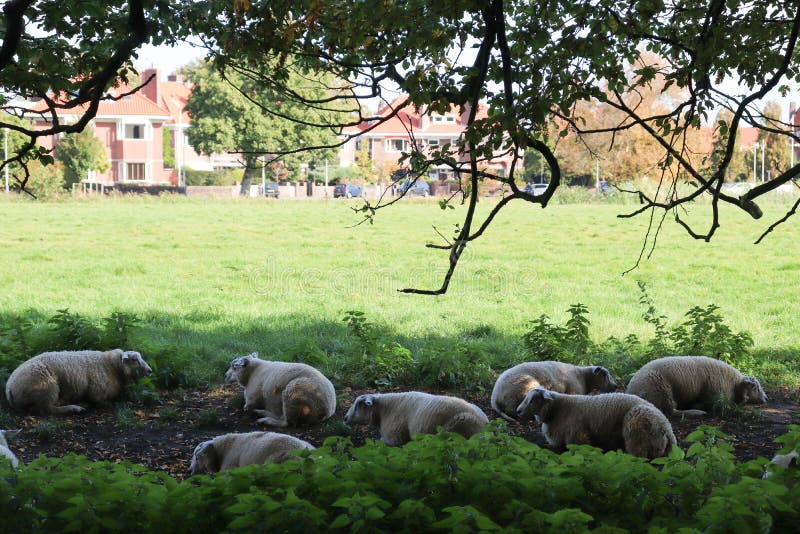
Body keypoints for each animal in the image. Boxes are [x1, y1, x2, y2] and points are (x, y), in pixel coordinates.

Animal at [5, 349, 152, 415]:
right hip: (47, 388)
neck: (112, 366)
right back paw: (74, 408)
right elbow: (101, 401)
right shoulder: (96, 392)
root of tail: (9, 388)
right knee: (46, 409)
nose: (150, 371)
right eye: (134, 360)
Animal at [490, 361, 619, 421]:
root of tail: (494, 396)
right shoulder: (574, 391)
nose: (616, 386)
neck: (583, 377)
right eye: (605, 375)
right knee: (515, 410)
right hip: (527, 387)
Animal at [515, 388, 677, 459]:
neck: (556, 410)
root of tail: (667, 427)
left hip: (637, 435)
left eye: (533, 399)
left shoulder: (578, 437)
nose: (517, 411)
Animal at [626, 356, 767, 418]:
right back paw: (696, 412)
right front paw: (698, 407)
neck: (734, 384)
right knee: (671, 411)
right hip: (662, 390)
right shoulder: (714, 396)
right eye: (755, 388)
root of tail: (631, 390)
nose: (766, 399)